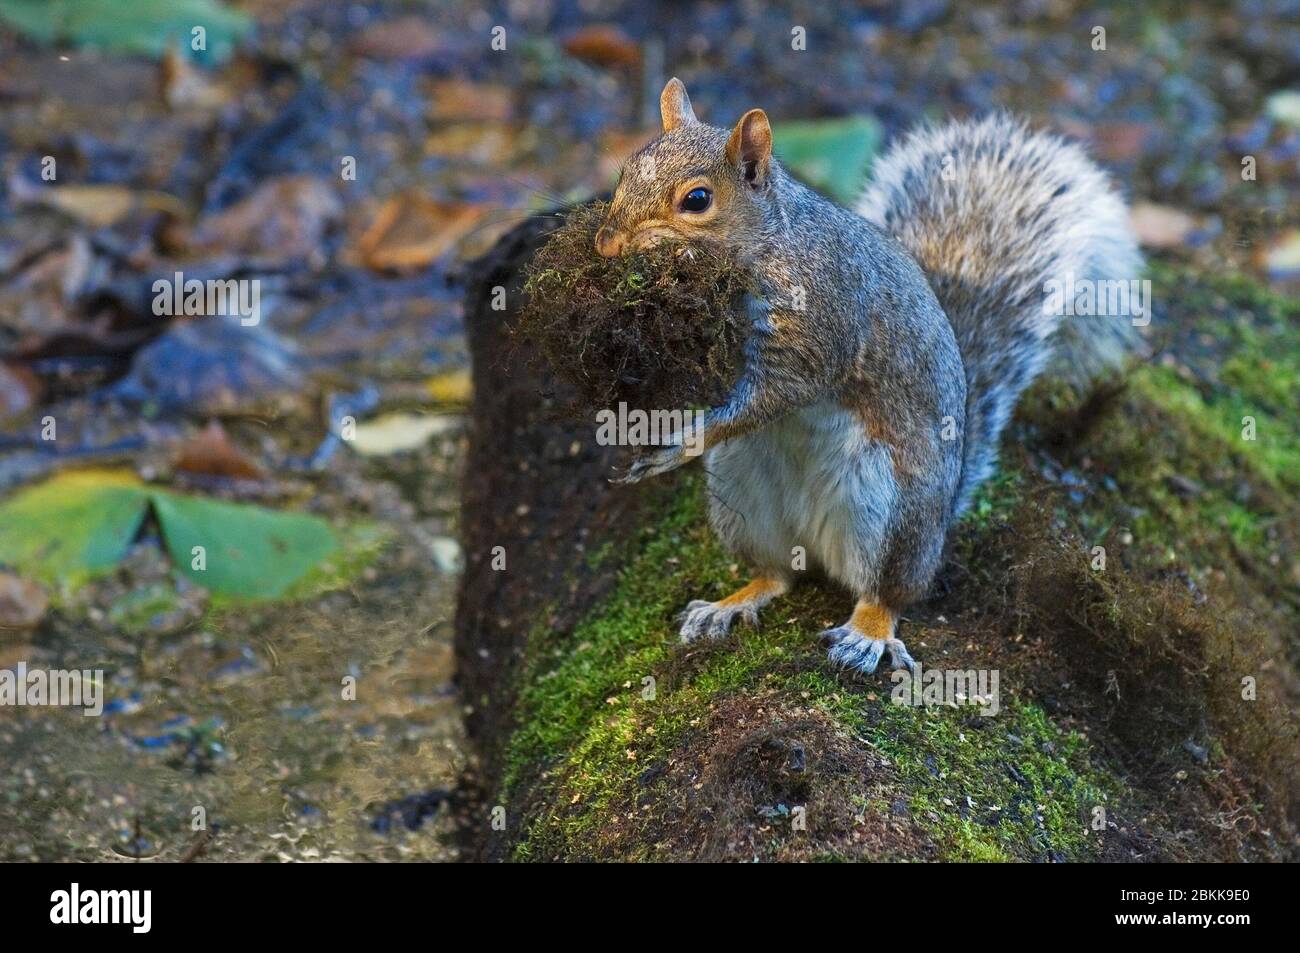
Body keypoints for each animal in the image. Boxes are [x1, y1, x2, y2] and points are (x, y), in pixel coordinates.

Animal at [600, 79, 1141, 674]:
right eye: (625, 171)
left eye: (696, 200)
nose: (606, 245)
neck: (772, 242)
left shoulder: (819, 318)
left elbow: (782, 390)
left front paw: (681, 439)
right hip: (742, 495)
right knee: (778, 575)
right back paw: (731, 602)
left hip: (892, 511)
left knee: (888, 591)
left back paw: (866, 634)